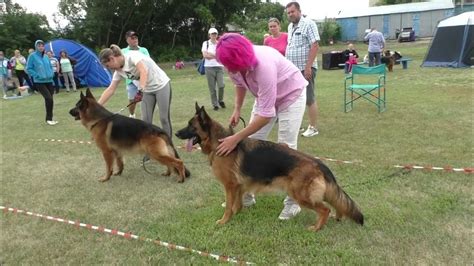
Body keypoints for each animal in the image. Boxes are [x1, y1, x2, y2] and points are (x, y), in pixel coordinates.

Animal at [174, 103, 362, 232]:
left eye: (191, 126)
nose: (175, 133)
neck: (218, 142)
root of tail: (318, 162)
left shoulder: (230, 185)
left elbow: (229, 207)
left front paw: (224, 221)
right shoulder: (238, 186)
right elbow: (236, 204)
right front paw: (237, 214)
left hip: (300, 194)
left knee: (324, 209)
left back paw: (316, 227)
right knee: (335, 204)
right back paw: (336, 217)